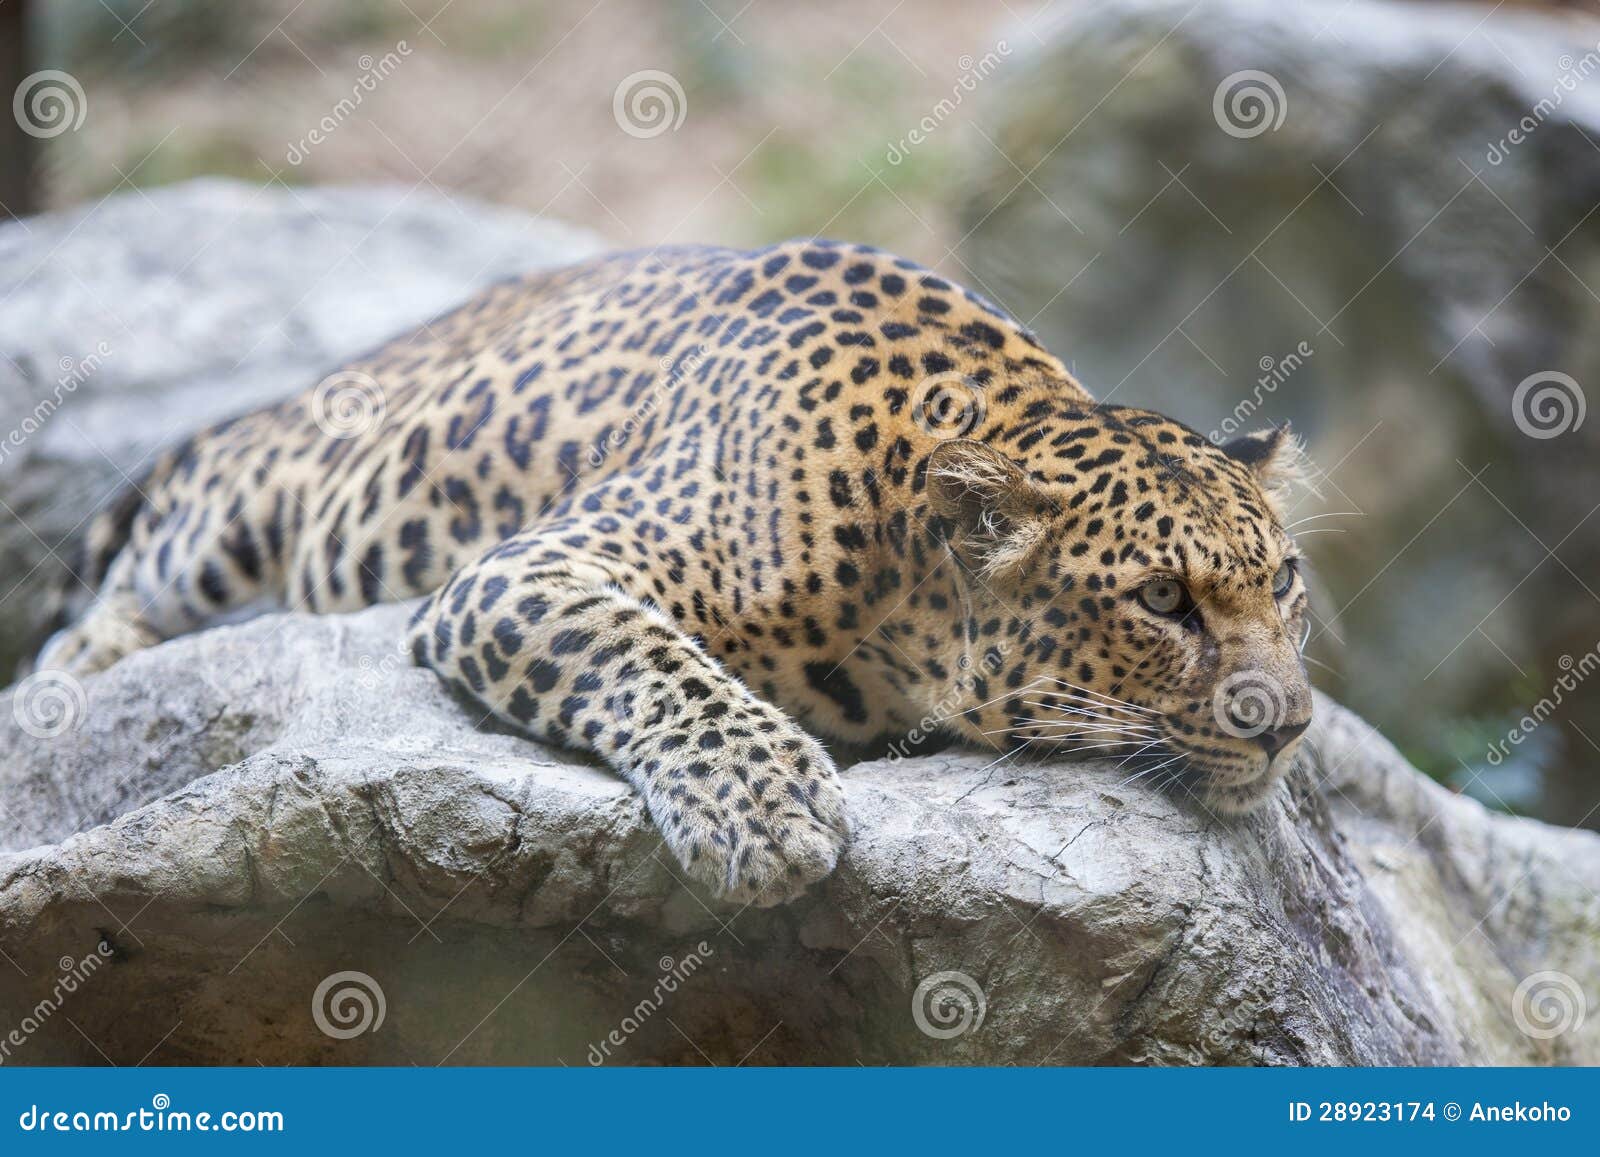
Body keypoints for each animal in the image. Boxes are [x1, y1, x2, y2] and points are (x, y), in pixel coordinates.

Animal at [36, 239, 1315, 907]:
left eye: (1287, 582)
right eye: (1163, 599)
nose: (1292, 724)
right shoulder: (527, 569)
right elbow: (653, 660)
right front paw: (767, 805)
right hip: (251, 502)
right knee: (133, 572)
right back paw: (72, 672)